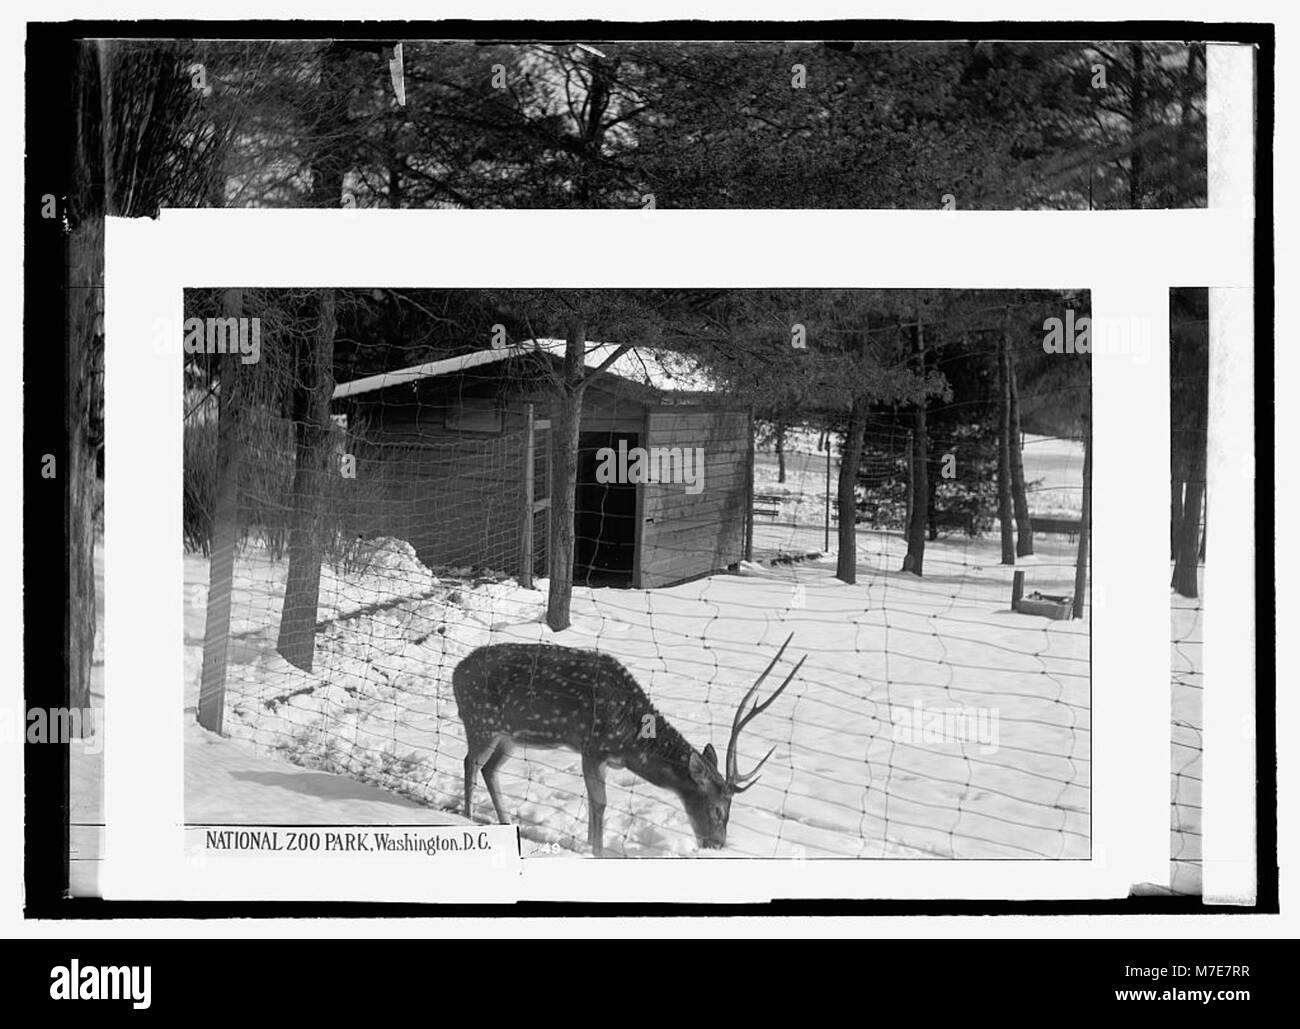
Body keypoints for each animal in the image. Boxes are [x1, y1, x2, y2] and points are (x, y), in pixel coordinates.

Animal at [452, 634, 804, 856]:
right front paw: (596, 851)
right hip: (481, 722)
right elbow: (600, 802)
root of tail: (455, 671)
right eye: (718, 808)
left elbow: (597, 802)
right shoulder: (592, 745)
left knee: (488, 769)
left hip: (508, 736)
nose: (716, 844)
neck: (630, 738)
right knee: (470, 762)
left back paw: (505, 822)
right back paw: (465, 818)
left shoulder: (604, 757)